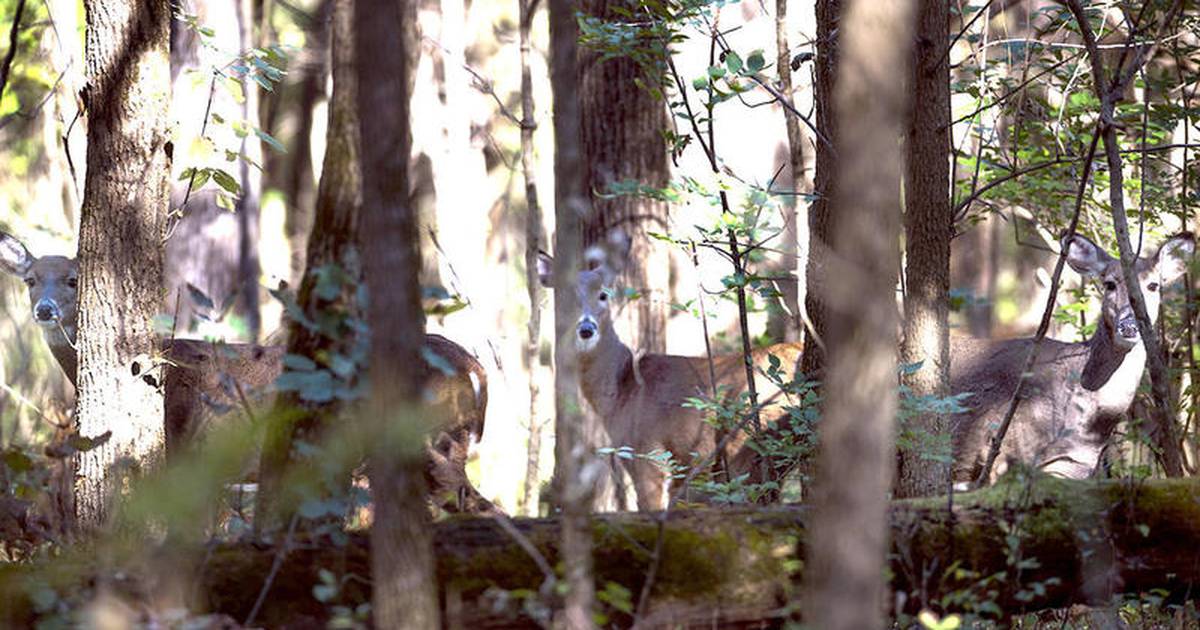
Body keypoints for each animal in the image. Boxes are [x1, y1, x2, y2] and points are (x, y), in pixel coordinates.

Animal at [0, 230, 492, 513]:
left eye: (73, 280)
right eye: (29, 280)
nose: (44, 310)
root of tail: (473, 367)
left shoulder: (185, 447)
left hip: (431, 435)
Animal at [538, 232, 804, 511]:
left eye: (603, 294)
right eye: (562, 297)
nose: (586, 329)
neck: (623, 391)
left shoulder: (650, 453)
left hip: (748, 437)